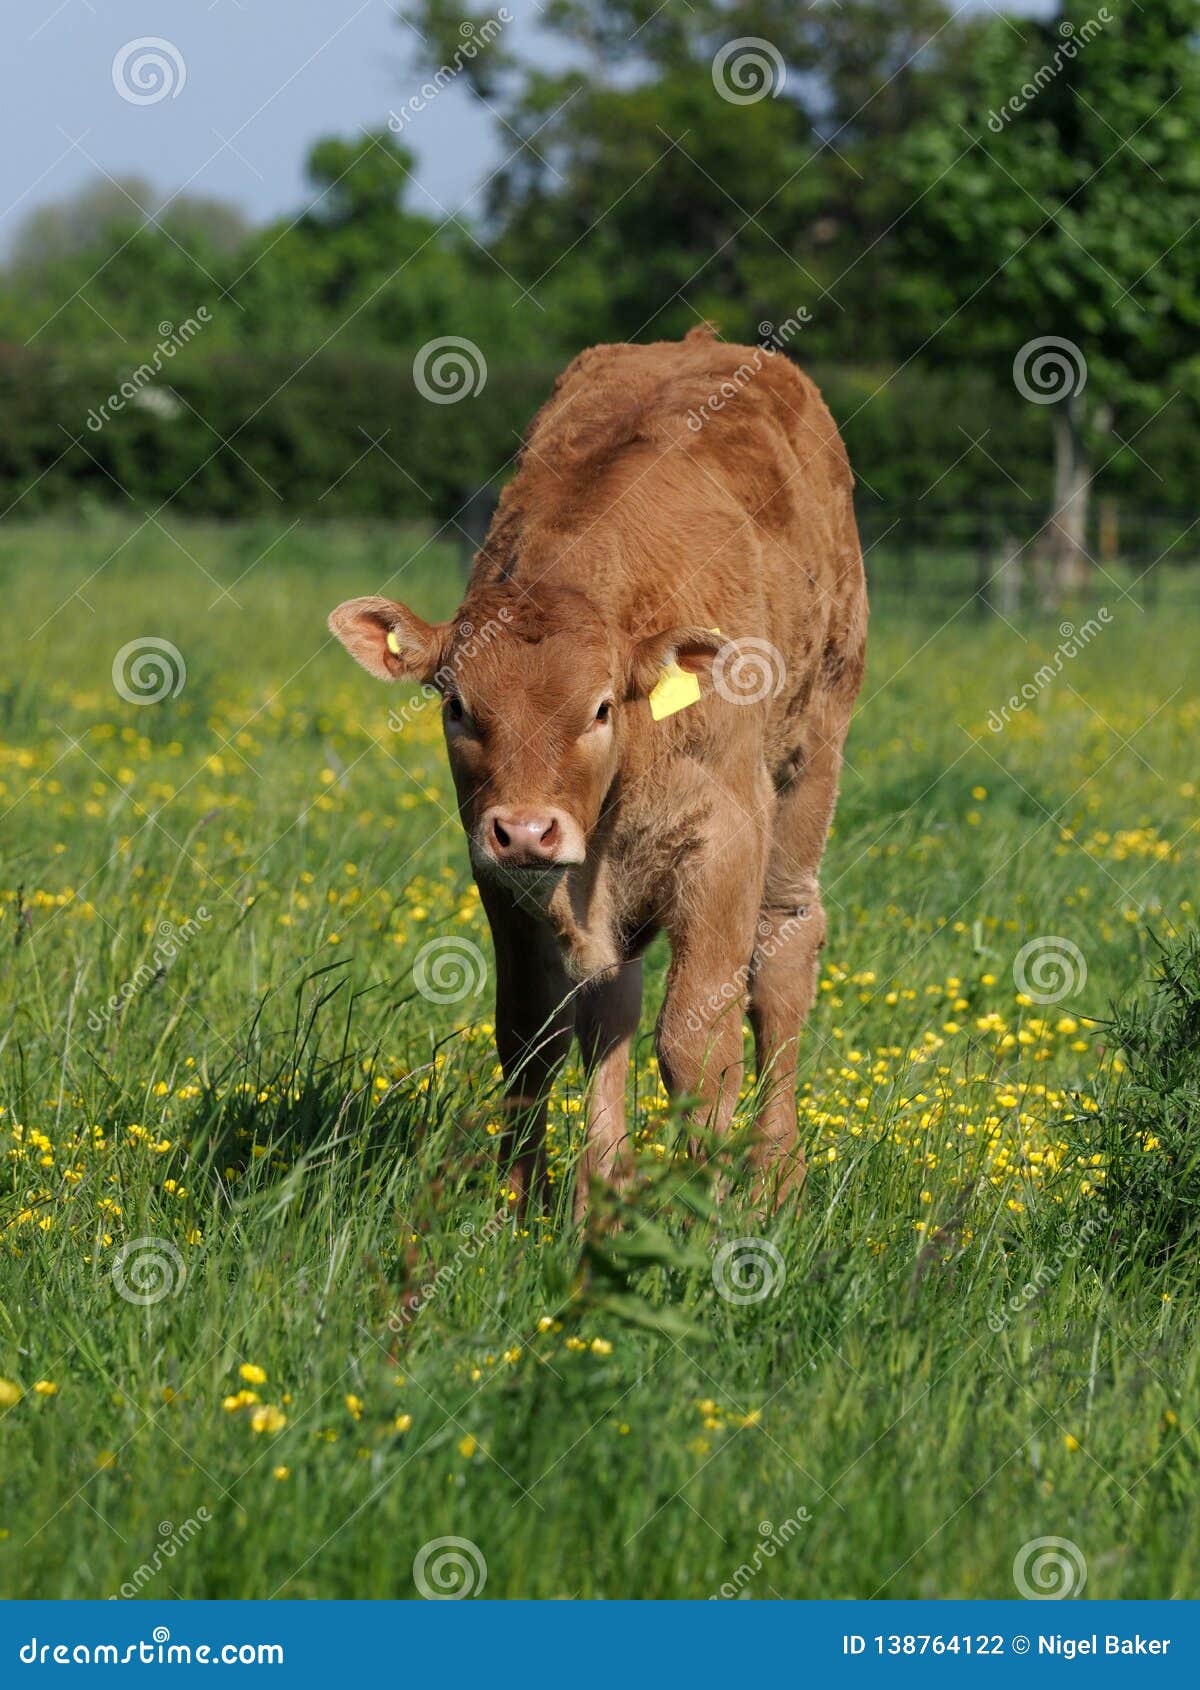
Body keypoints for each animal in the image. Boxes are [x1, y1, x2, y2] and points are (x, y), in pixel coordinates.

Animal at [329, 326, 867, 1220]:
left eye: (602, 708)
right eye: (456, 705)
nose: (527, 829)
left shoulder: (725, 842)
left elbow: (695, 1040)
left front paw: (704, 1211)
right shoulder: (504, 874)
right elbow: (529, 1031)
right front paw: (521, 1203)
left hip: (810, 764)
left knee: (784, 954)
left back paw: (773, 1175)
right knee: (613, 993)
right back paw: (603, 1185)